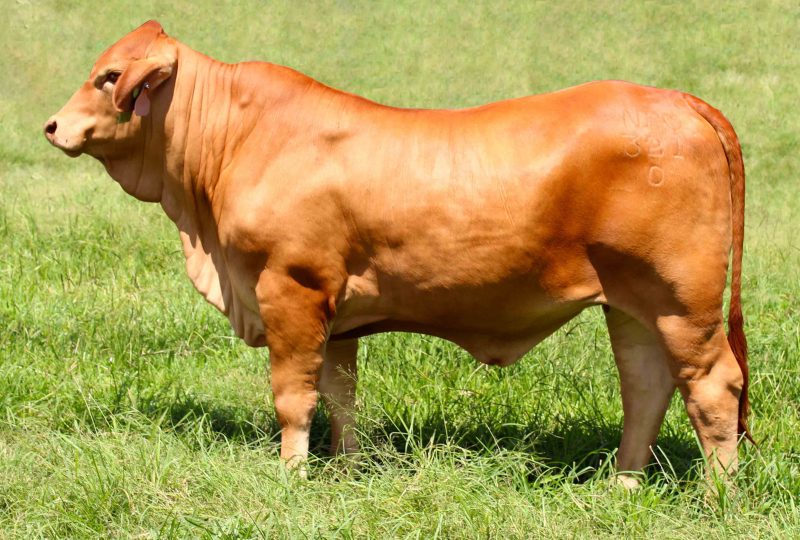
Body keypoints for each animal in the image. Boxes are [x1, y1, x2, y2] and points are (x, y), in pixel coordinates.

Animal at [44, 21, 750, 486]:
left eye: (110, 77)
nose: (52, 125)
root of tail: (676, 98)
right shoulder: (335, 316)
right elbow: (339, 394)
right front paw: (346, 469)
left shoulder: (289, 289)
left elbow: (293, 396)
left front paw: (292, 476)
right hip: (631, 304)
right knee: (647, 385)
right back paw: (621, 487)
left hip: (682, 299)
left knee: (713, 386)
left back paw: (717, 496)